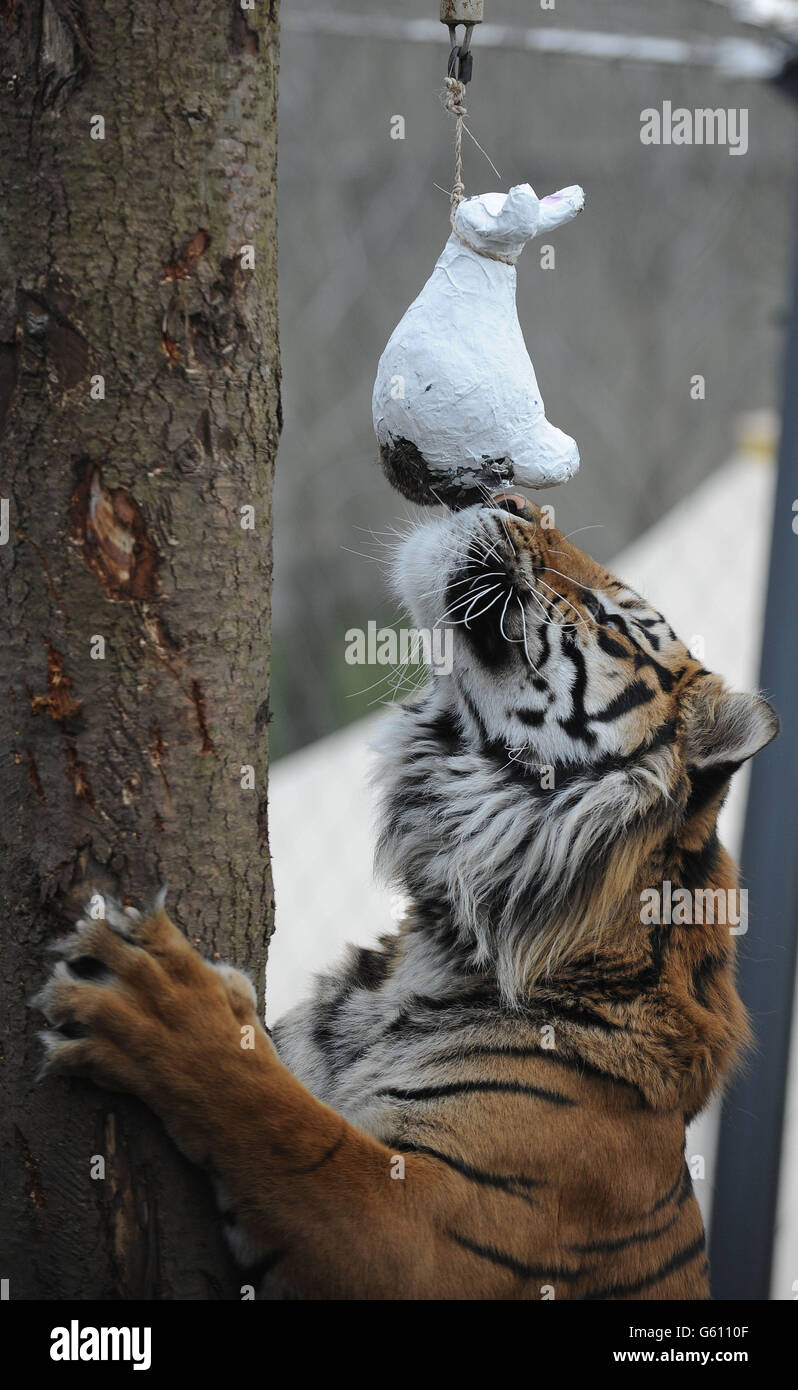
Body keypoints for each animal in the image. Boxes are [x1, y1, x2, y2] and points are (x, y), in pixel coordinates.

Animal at [36, 492, 778, 1300]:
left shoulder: (423, 1233)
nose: (513, 497)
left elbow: (288, 1126)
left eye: (611, 617)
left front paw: (155, 1000)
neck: (451, 940)